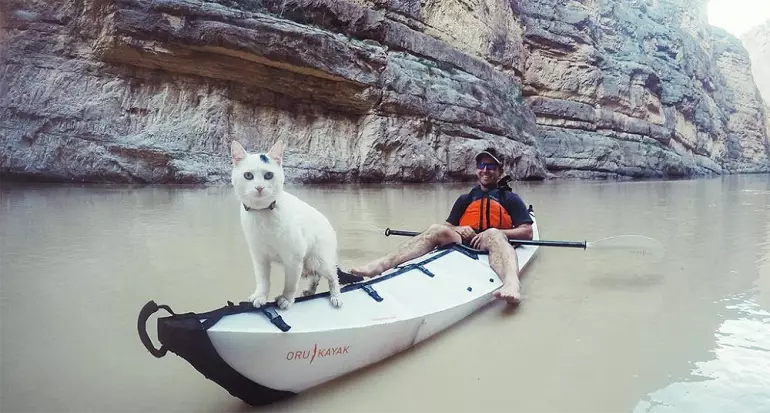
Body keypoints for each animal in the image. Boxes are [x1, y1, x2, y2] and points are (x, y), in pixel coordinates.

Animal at [230, 138, 344, 308]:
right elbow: (262, 280)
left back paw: (336, 296)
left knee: (332, 276)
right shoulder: (259, 256)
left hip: (319, 260)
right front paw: (260, 296)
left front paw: (286, 299)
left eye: (268, 175)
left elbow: (290, 283)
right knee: (316, 276)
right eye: (248, 175)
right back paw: (310, 290)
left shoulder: (294, 258)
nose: (259, 187)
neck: (262, 214)